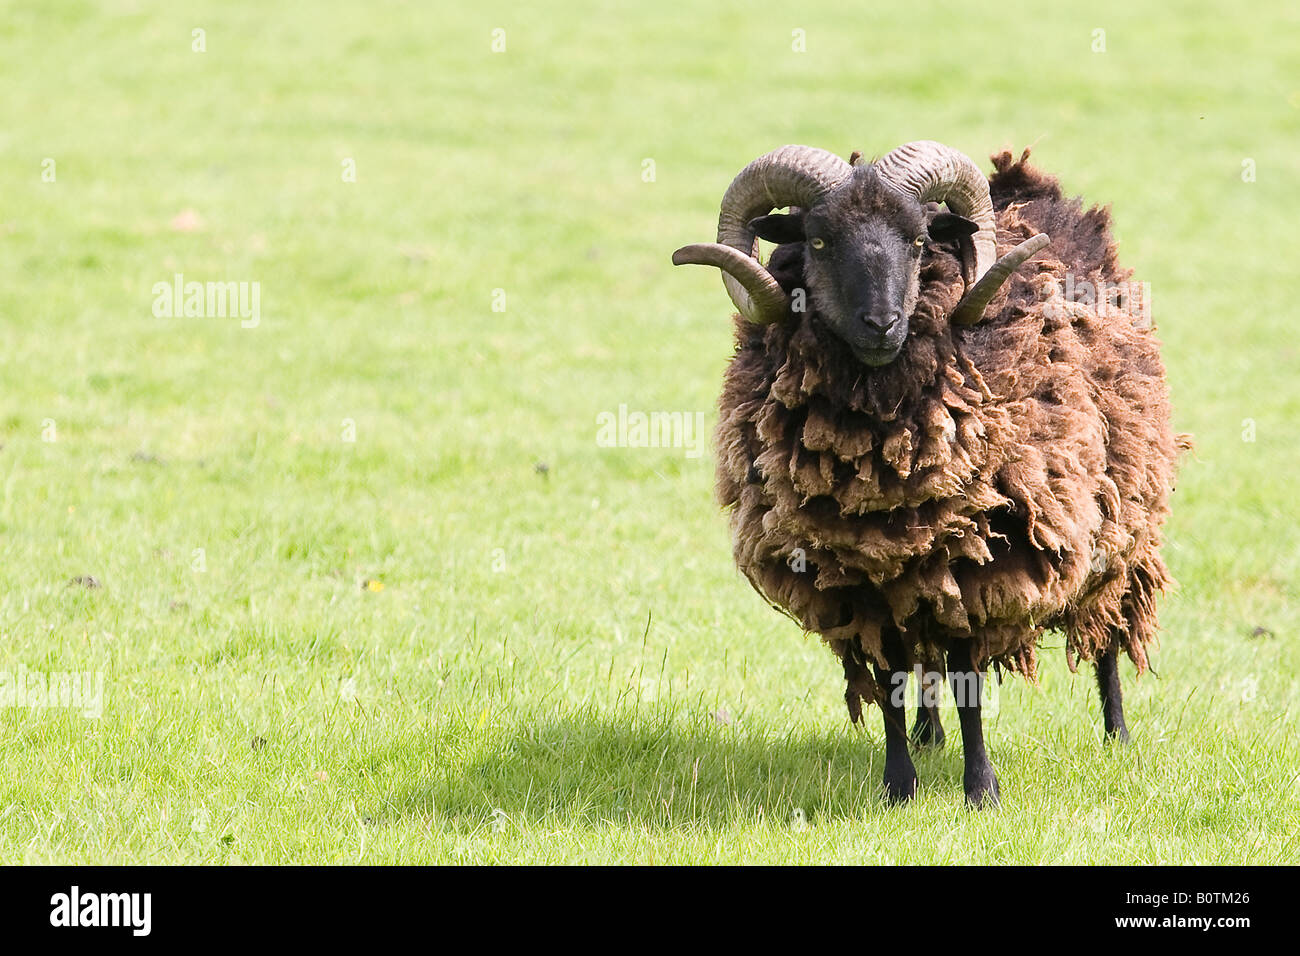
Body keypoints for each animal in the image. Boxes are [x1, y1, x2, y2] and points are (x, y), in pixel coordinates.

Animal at [672, 141, 1185, 806]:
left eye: (918, 241)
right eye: (817, 242)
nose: (882, 324)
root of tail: (1030, 186)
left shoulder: (979, 555)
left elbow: (967, 674)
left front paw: (981, 790)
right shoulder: (861, 570)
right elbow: (891, 674)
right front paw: (899, 785)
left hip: (1124, 512)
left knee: (1108, 626)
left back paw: (1117, 733)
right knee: (924, 653)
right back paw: (928, 733)